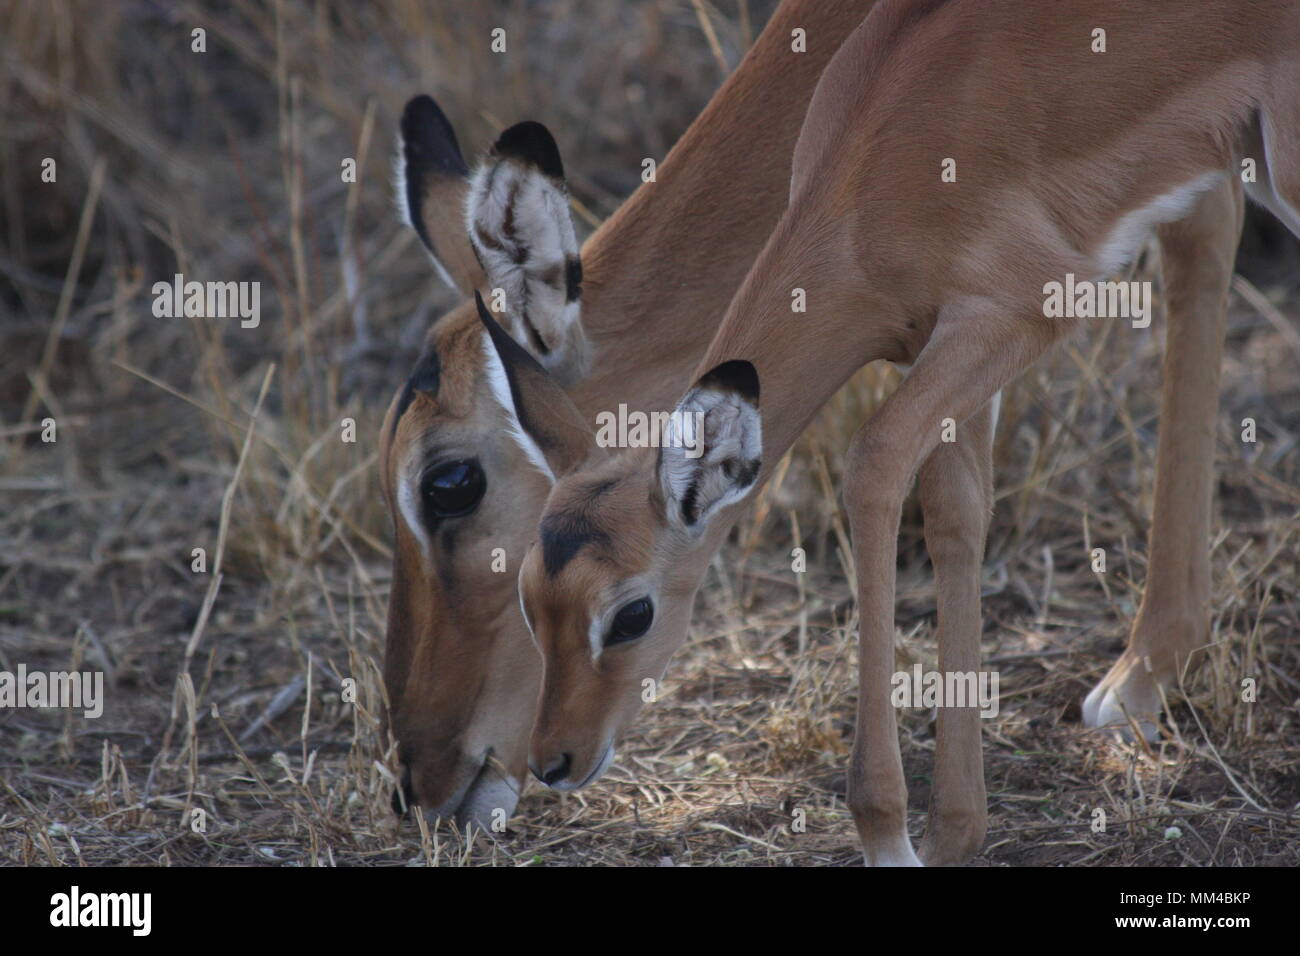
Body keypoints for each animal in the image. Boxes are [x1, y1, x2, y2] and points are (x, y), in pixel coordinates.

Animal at [509, 0, 1300, 863]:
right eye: (530, 598)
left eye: (632, 612)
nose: (552, 760)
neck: (873, 173)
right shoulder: (941, 344)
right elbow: (956, 511)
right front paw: (956, 830)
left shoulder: (1015, 316)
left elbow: (876, 464)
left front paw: (889, 832)